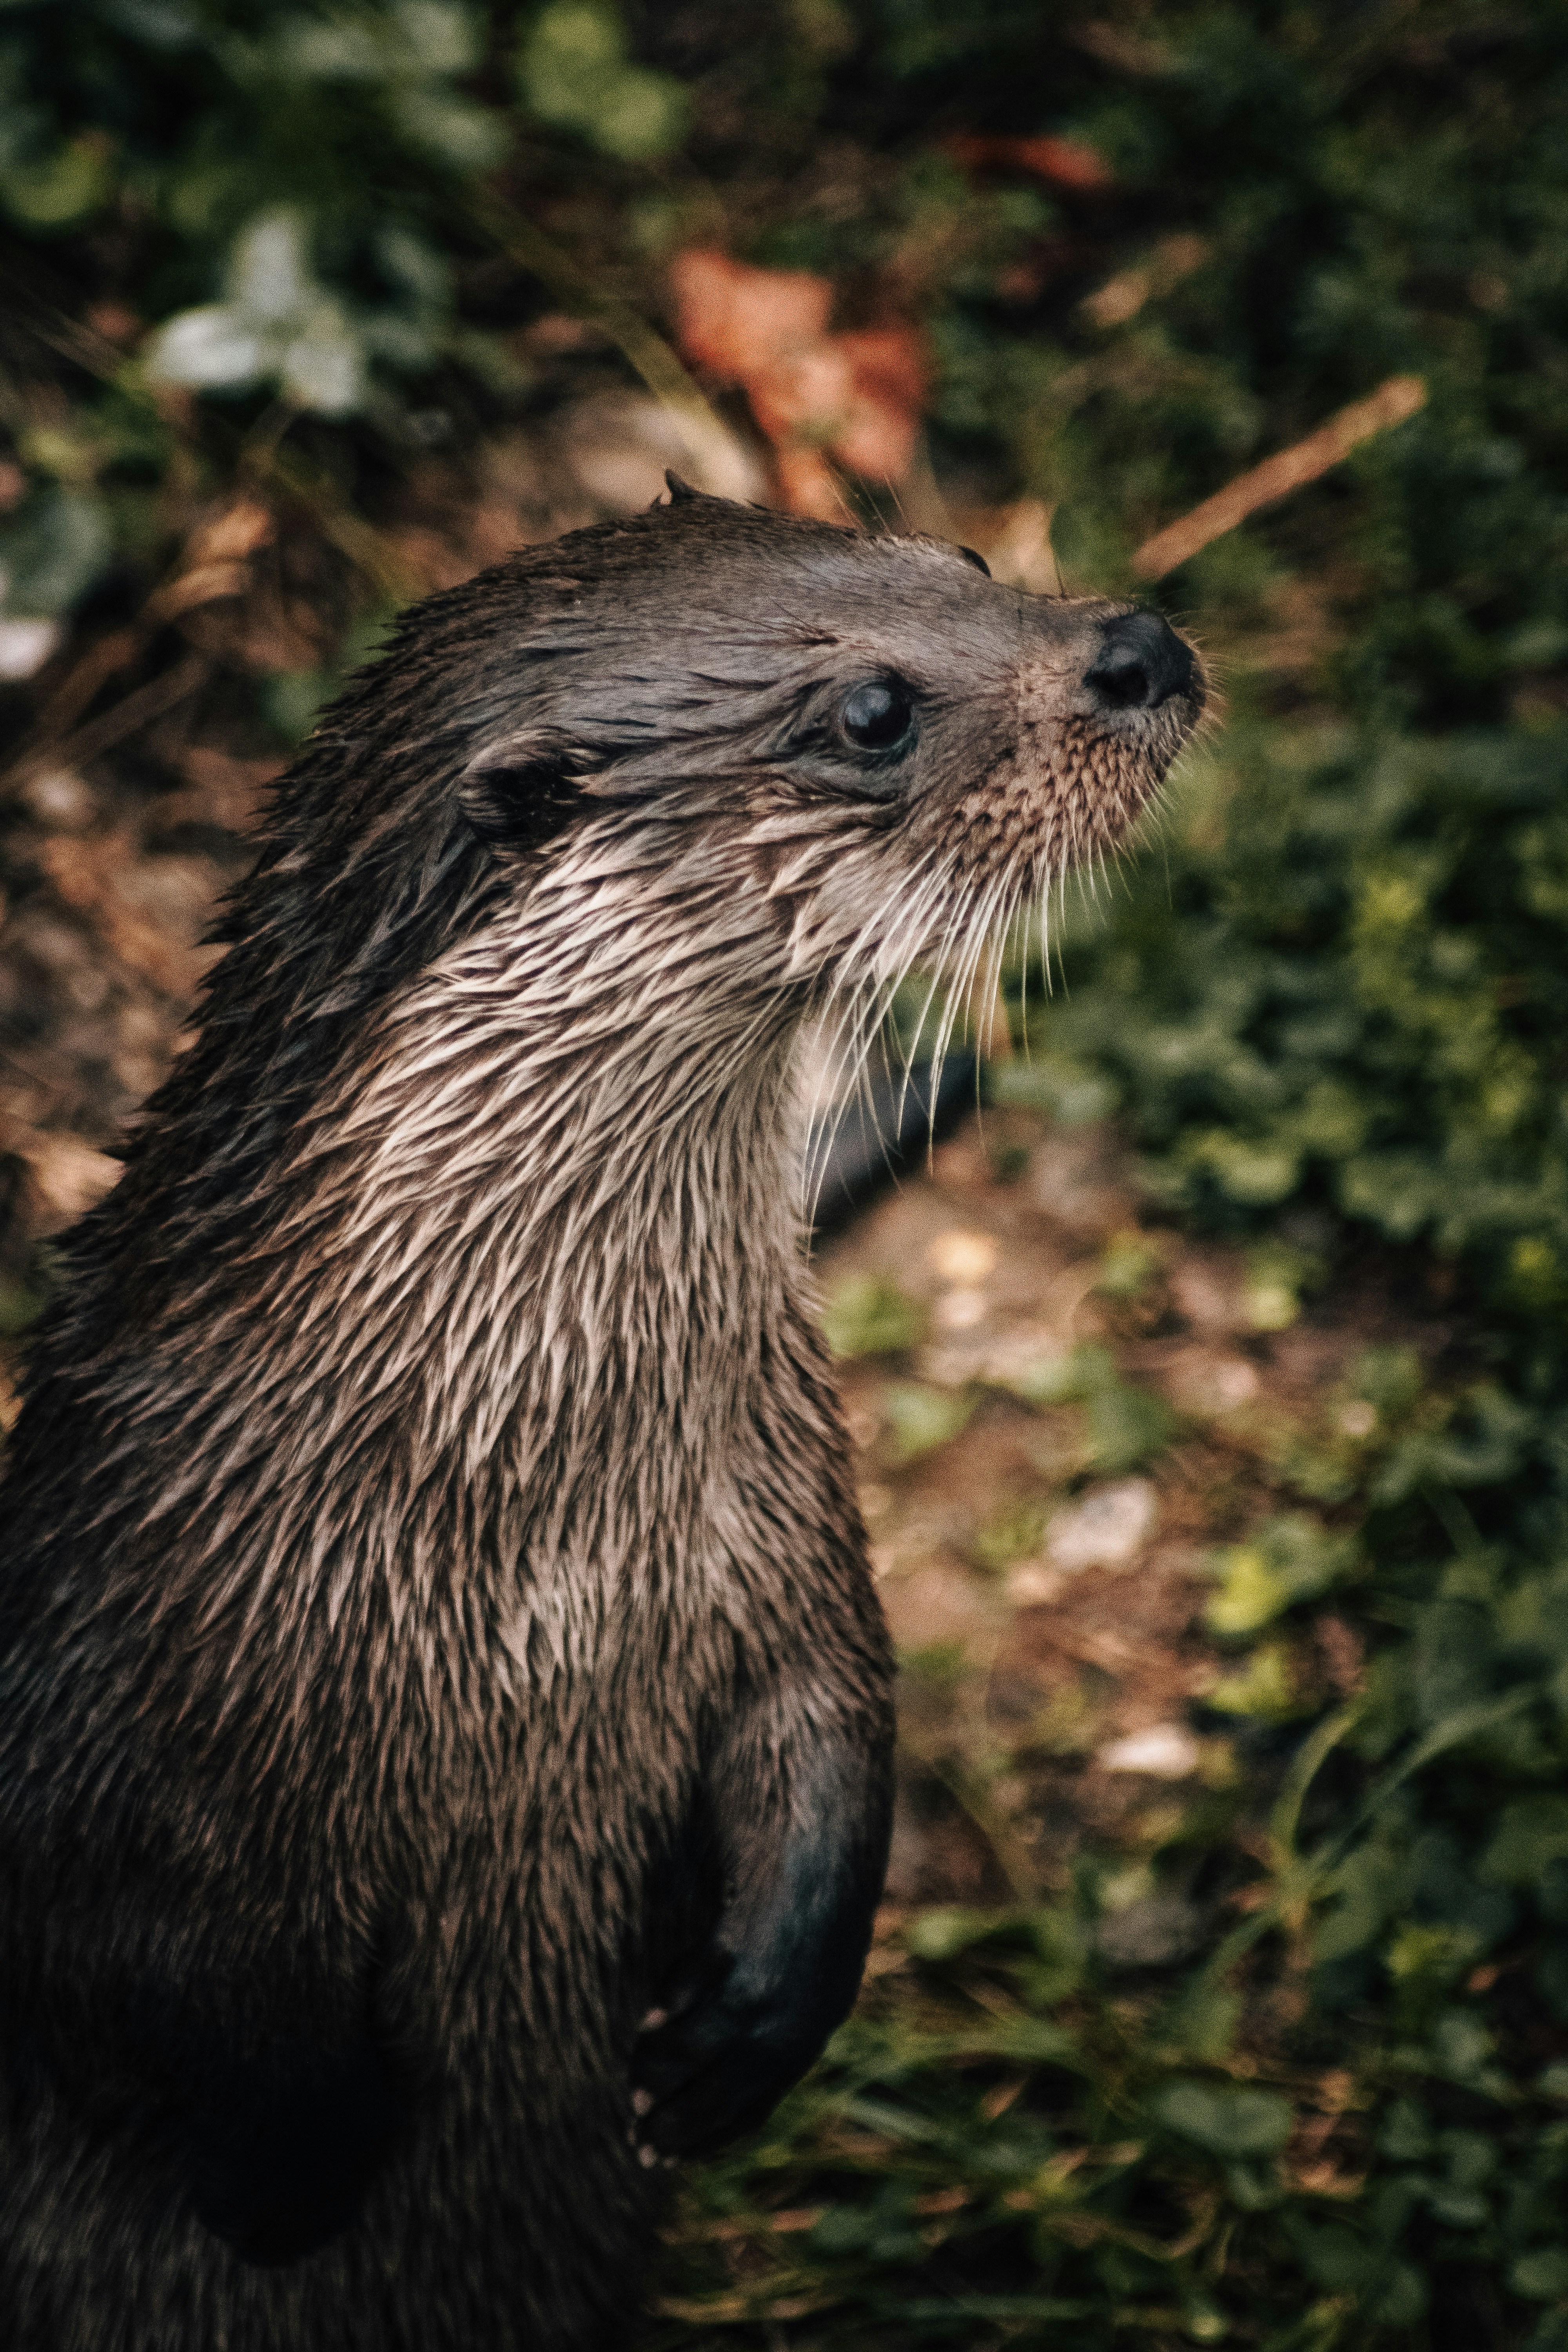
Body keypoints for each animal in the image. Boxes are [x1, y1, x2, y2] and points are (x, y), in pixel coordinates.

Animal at [0, 483, 1203, 2351]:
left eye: (960, 560)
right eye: (869, 712)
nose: (1138, 647)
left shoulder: (776, 1504)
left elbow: (830, 1709)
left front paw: (752, 2016)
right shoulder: (109, 1692)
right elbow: (129, 1944)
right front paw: (296, 2170)